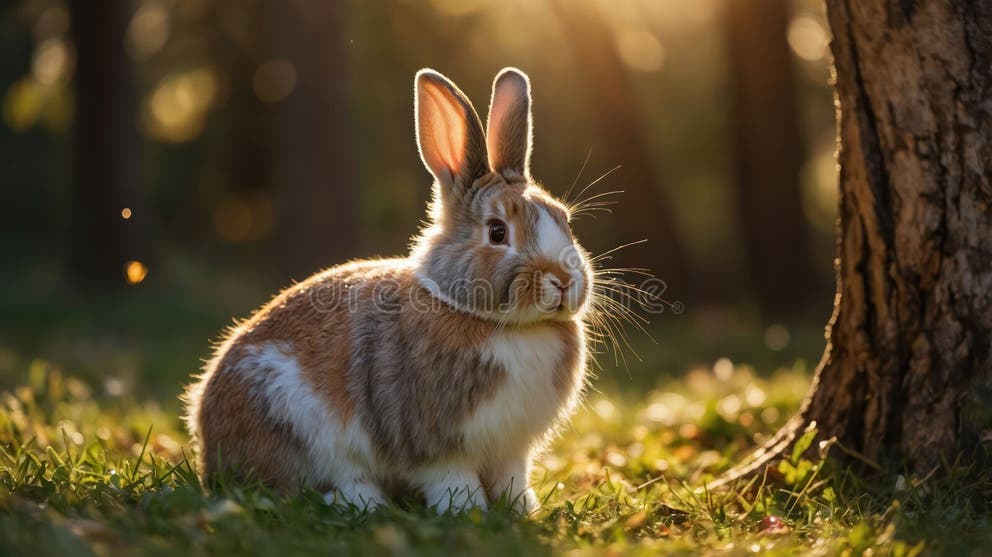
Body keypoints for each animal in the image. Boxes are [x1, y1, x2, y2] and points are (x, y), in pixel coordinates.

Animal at [183, 67, 593, 514]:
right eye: (498, 232)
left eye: (563, 218)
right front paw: (467, 510)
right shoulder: (436, 443)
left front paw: (521, 508)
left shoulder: (511, 449)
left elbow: (512, 478)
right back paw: (362, 502)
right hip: (291, 423)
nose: (564, 280)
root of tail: (207, 436)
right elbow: (451, 478)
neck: (506, 325)